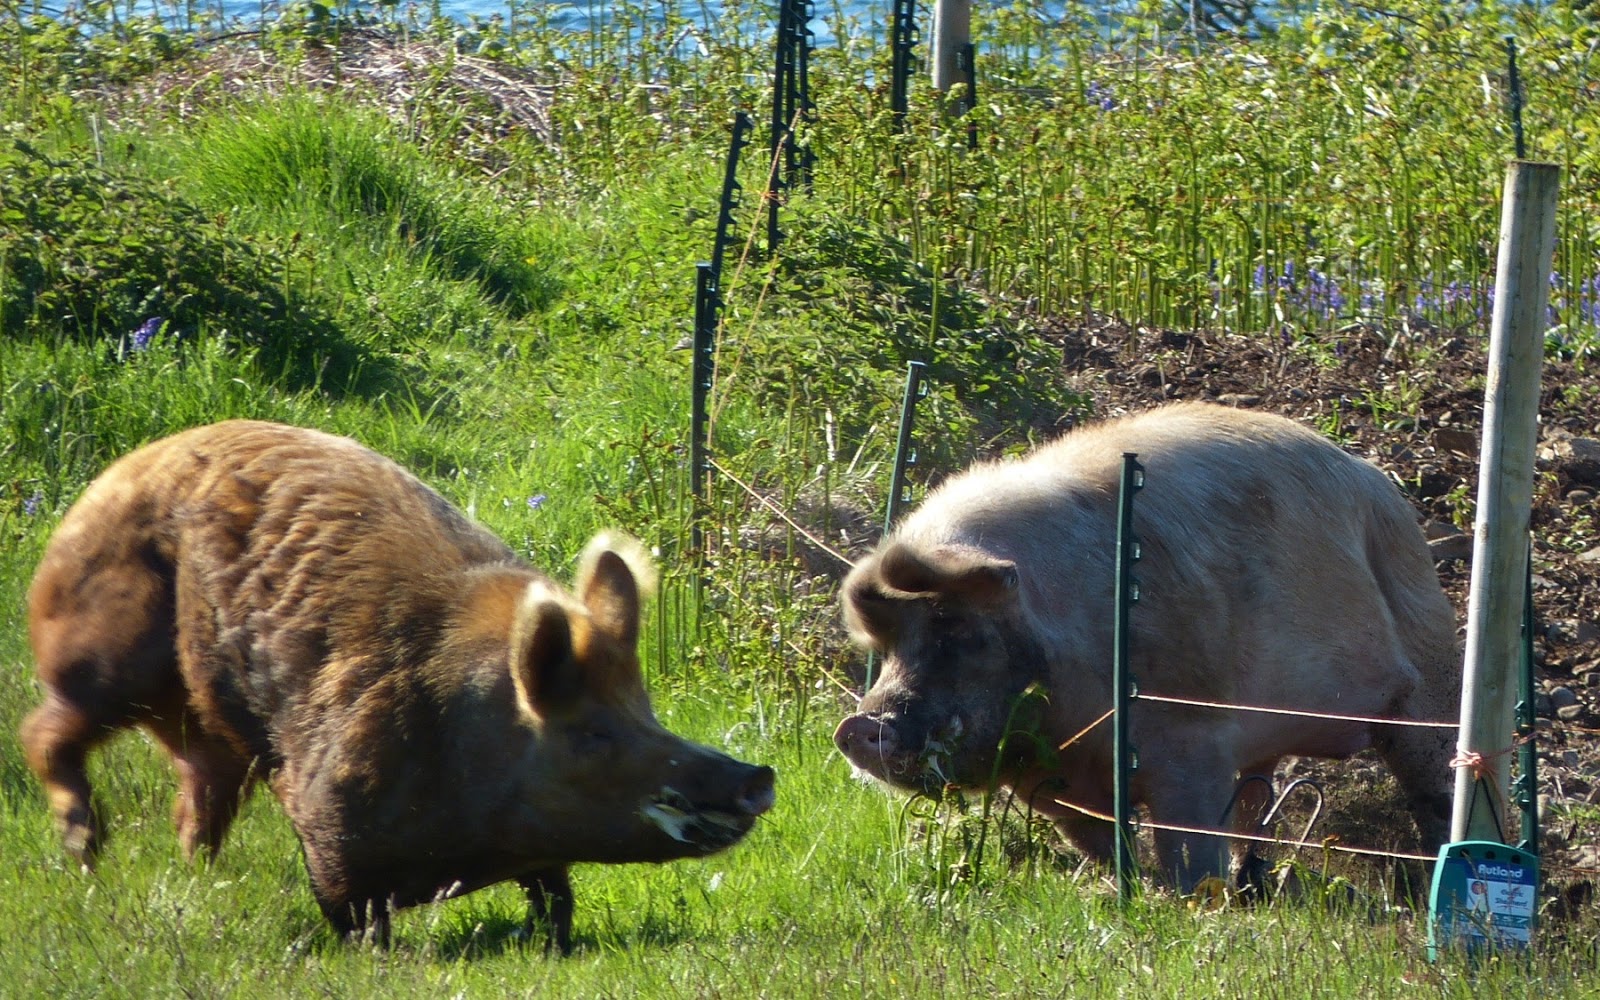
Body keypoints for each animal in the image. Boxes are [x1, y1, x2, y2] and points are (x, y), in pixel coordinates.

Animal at [20, 420, 774, 951]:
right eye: (593, 732)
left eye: (646, 709)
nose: (756, 775)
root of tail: (110, 476)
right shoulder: (330, 819)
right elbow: (354, 913)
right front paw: (377, 959)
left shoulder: (537, 857)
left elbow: (556, 901)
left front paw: (551, 943)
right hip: (105, 653)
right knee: (43, 729)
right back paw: (85, 850)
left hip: (201, 720)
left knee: (197, 788)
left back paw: (197, 876)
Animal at [834, 401, 1459, 890]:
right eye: (887, 644)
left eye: (958, 628)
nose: (858, 725)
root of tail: (1380, 484)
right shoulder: (1051, 783)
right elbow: (1101, 841)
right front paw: (1128, 886)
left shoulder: (1193, 734)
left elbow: (1188, 836)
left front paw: (1190, 896)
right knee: (1256, 800)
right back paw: (1255, 882)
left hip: (1427, 676)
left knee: (1437, 785)